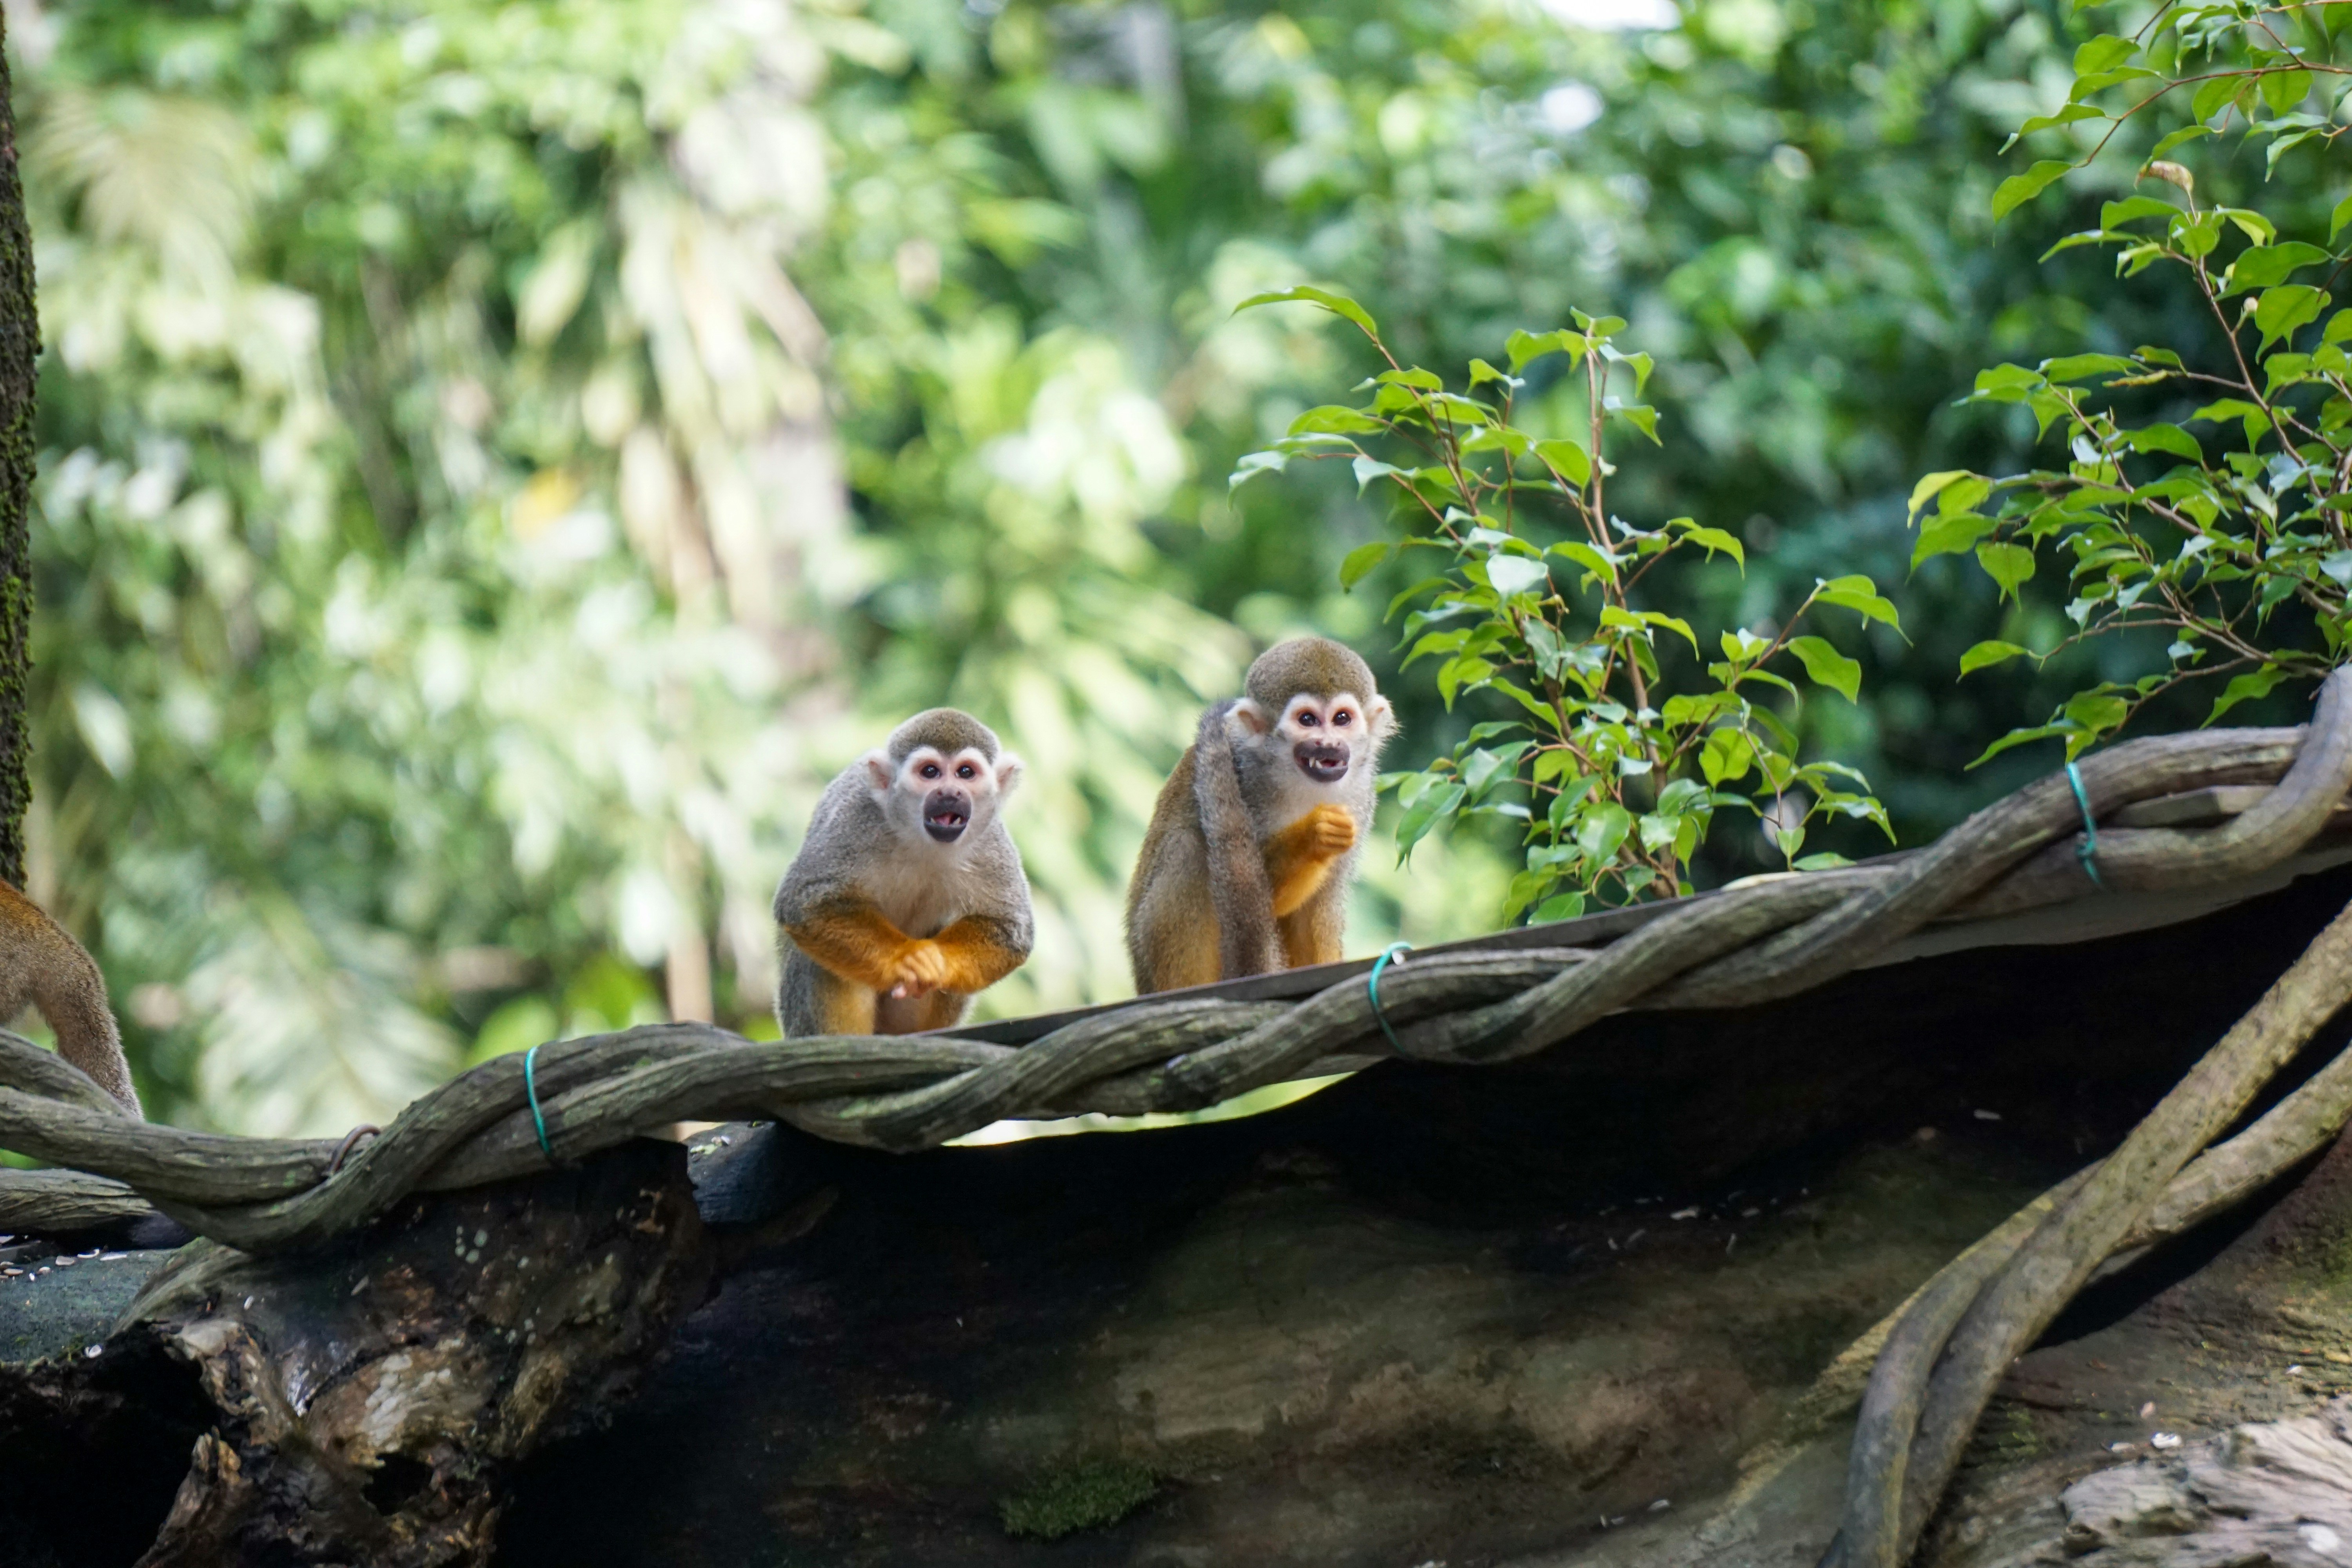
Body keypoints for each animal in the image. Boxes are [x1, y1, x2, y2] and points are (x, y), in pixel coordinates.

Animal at [774, 708, 1034, 1037]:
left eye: (965, 772)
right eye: (930, 772)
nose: (950, 793)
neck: (921, 839)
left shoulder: (990, 841)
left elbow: (1011, 930)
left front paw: (941, 963)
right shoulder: (856, 818)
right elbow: (806, 904)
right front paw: (905, 960)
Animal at [1125, 636, 1394, 995]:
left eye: (1342, 719)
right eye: (1307, 720)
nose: (1329, 744)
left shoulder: (1362, 798)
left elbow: (1318, 905)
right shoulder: (1244, 777)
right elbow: (1264, 892)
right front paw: (1314, 833)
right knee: (1188, 850)